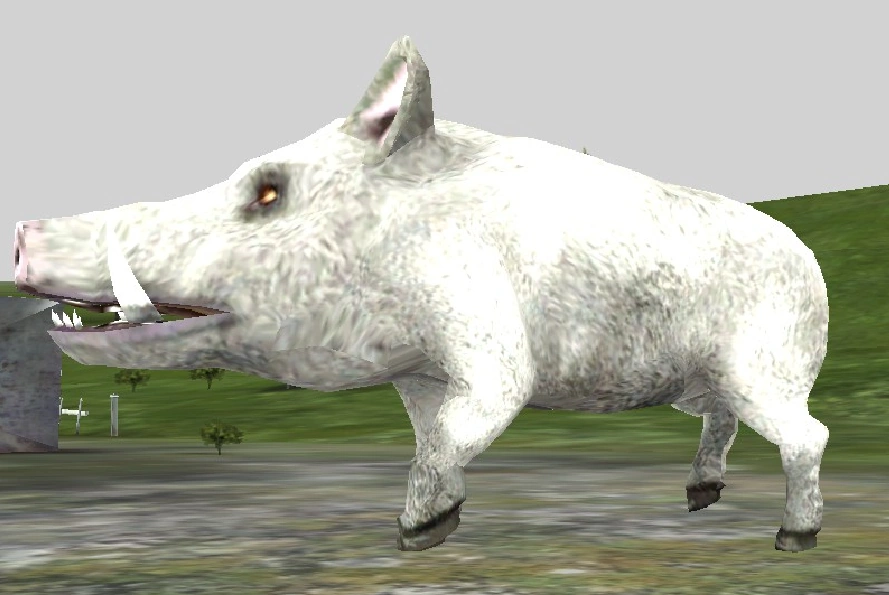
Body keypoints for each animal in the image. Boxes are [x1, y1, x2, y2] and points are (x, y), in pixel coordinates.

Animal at [13, 36, 830, 553]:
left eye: (268, 190)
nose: (21, 231)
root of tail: (809, 259)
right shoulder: (417, 371)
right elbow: (430, 432)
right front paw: (437, 521)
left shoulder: (486, 333)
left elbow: (472, 418)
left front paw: (412, 536)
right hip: (709, 380)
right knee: (722, 422)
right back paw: (699, 498)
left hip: (766, 362)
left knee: (807, 434)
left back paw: (792, 538)